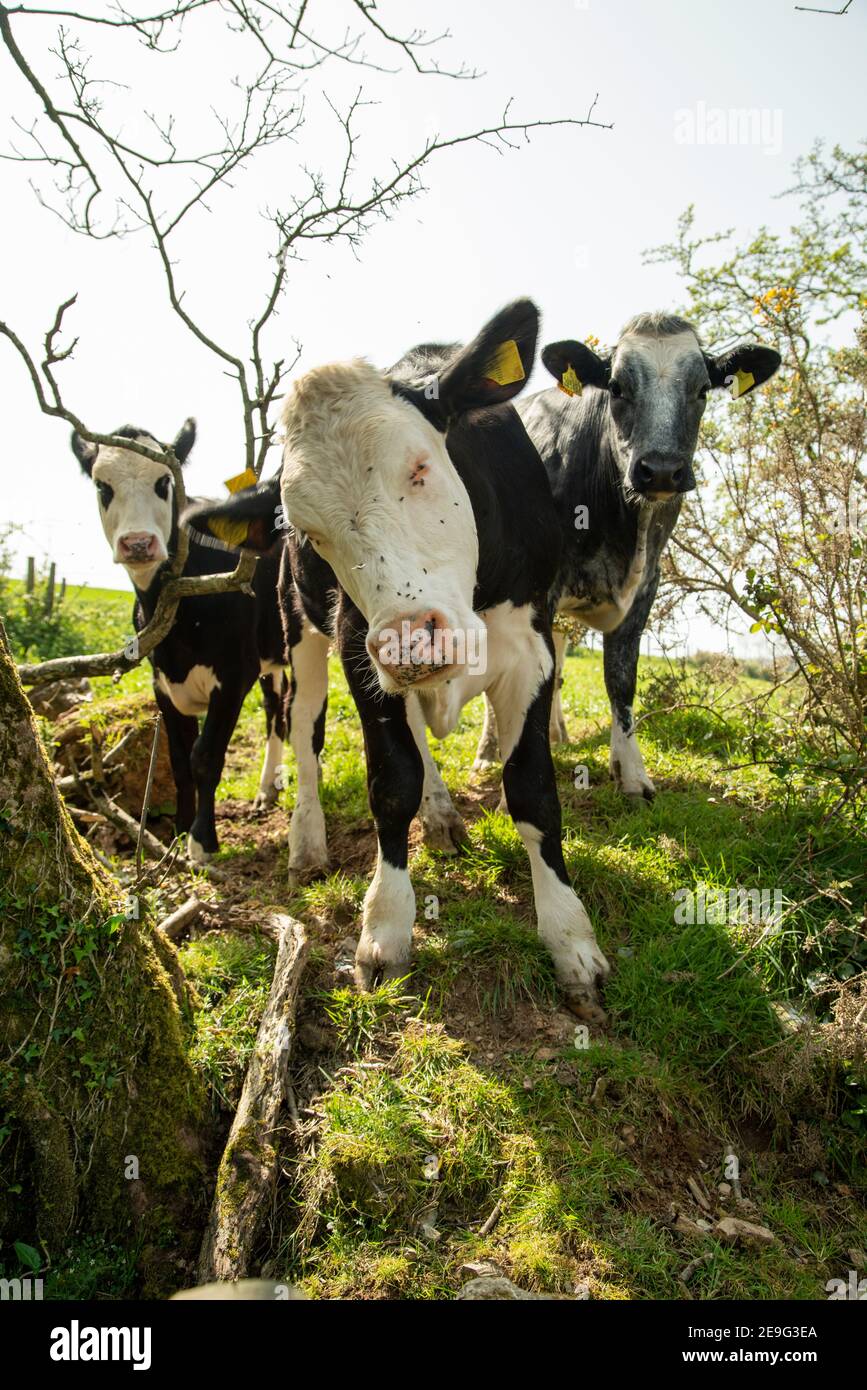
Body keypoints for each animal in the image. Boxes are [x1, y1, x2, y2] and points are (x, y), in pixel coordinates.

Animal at [71, 420, 292, 862]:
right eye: (103, 486)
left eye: (164, 482)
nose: (138, 543)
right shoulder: (162, 682)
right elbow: (177, 760)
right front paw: (176, 831)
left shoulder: (233, 675)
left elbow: (204, 756)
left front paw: (202, 840)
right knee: (276, 707)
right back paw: (266, 790)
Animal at [184, 300, 610, 1019]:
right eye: (309, 531)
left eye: (419, 466)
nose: (411, 640)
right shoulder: (361, 646)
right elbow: (392, 782)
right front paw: (385, 928)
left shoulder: (533, 647)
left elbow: (531, 790)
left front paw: (570, 938)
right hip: (303, 636)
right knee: (304, 732)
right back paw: (307, 839)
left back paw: (441, 815)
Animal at [473, 312, 781, 799]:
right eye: (616, 387)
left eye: (702, 389)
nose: (661, 470)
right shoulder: (540, 589)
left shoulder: (645, 586)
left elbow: (620, 678)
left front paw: (633, 774)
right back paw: (488, 752)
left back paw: (557, 734)